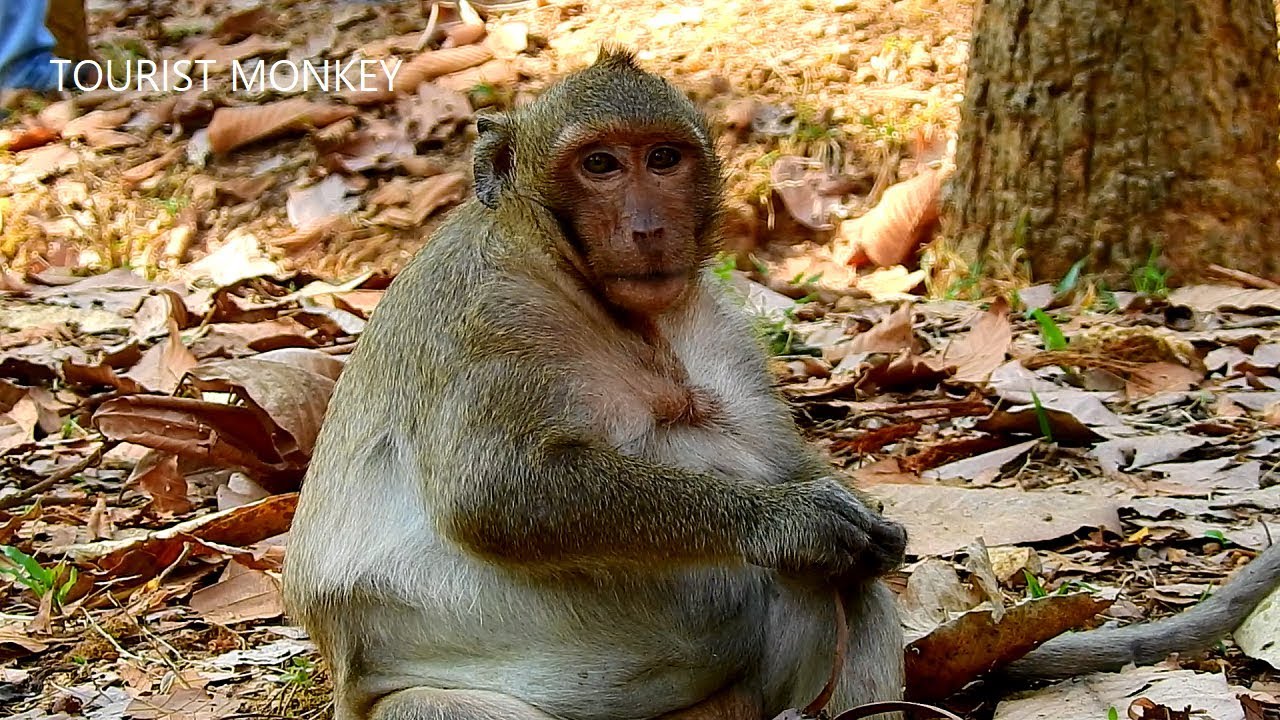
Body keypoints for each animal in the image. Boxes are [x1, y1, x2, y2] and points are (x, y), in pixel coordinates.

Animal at [284, 47, 909, 720]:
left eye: (662, 159)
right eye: (600, 165)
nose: (648, 228)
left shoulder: (718, 322)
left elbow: (781, 460)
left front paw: (862, 520)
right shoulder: (492, 313)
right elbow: (494, 490)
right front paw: (792, 520)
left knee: (846, 593)